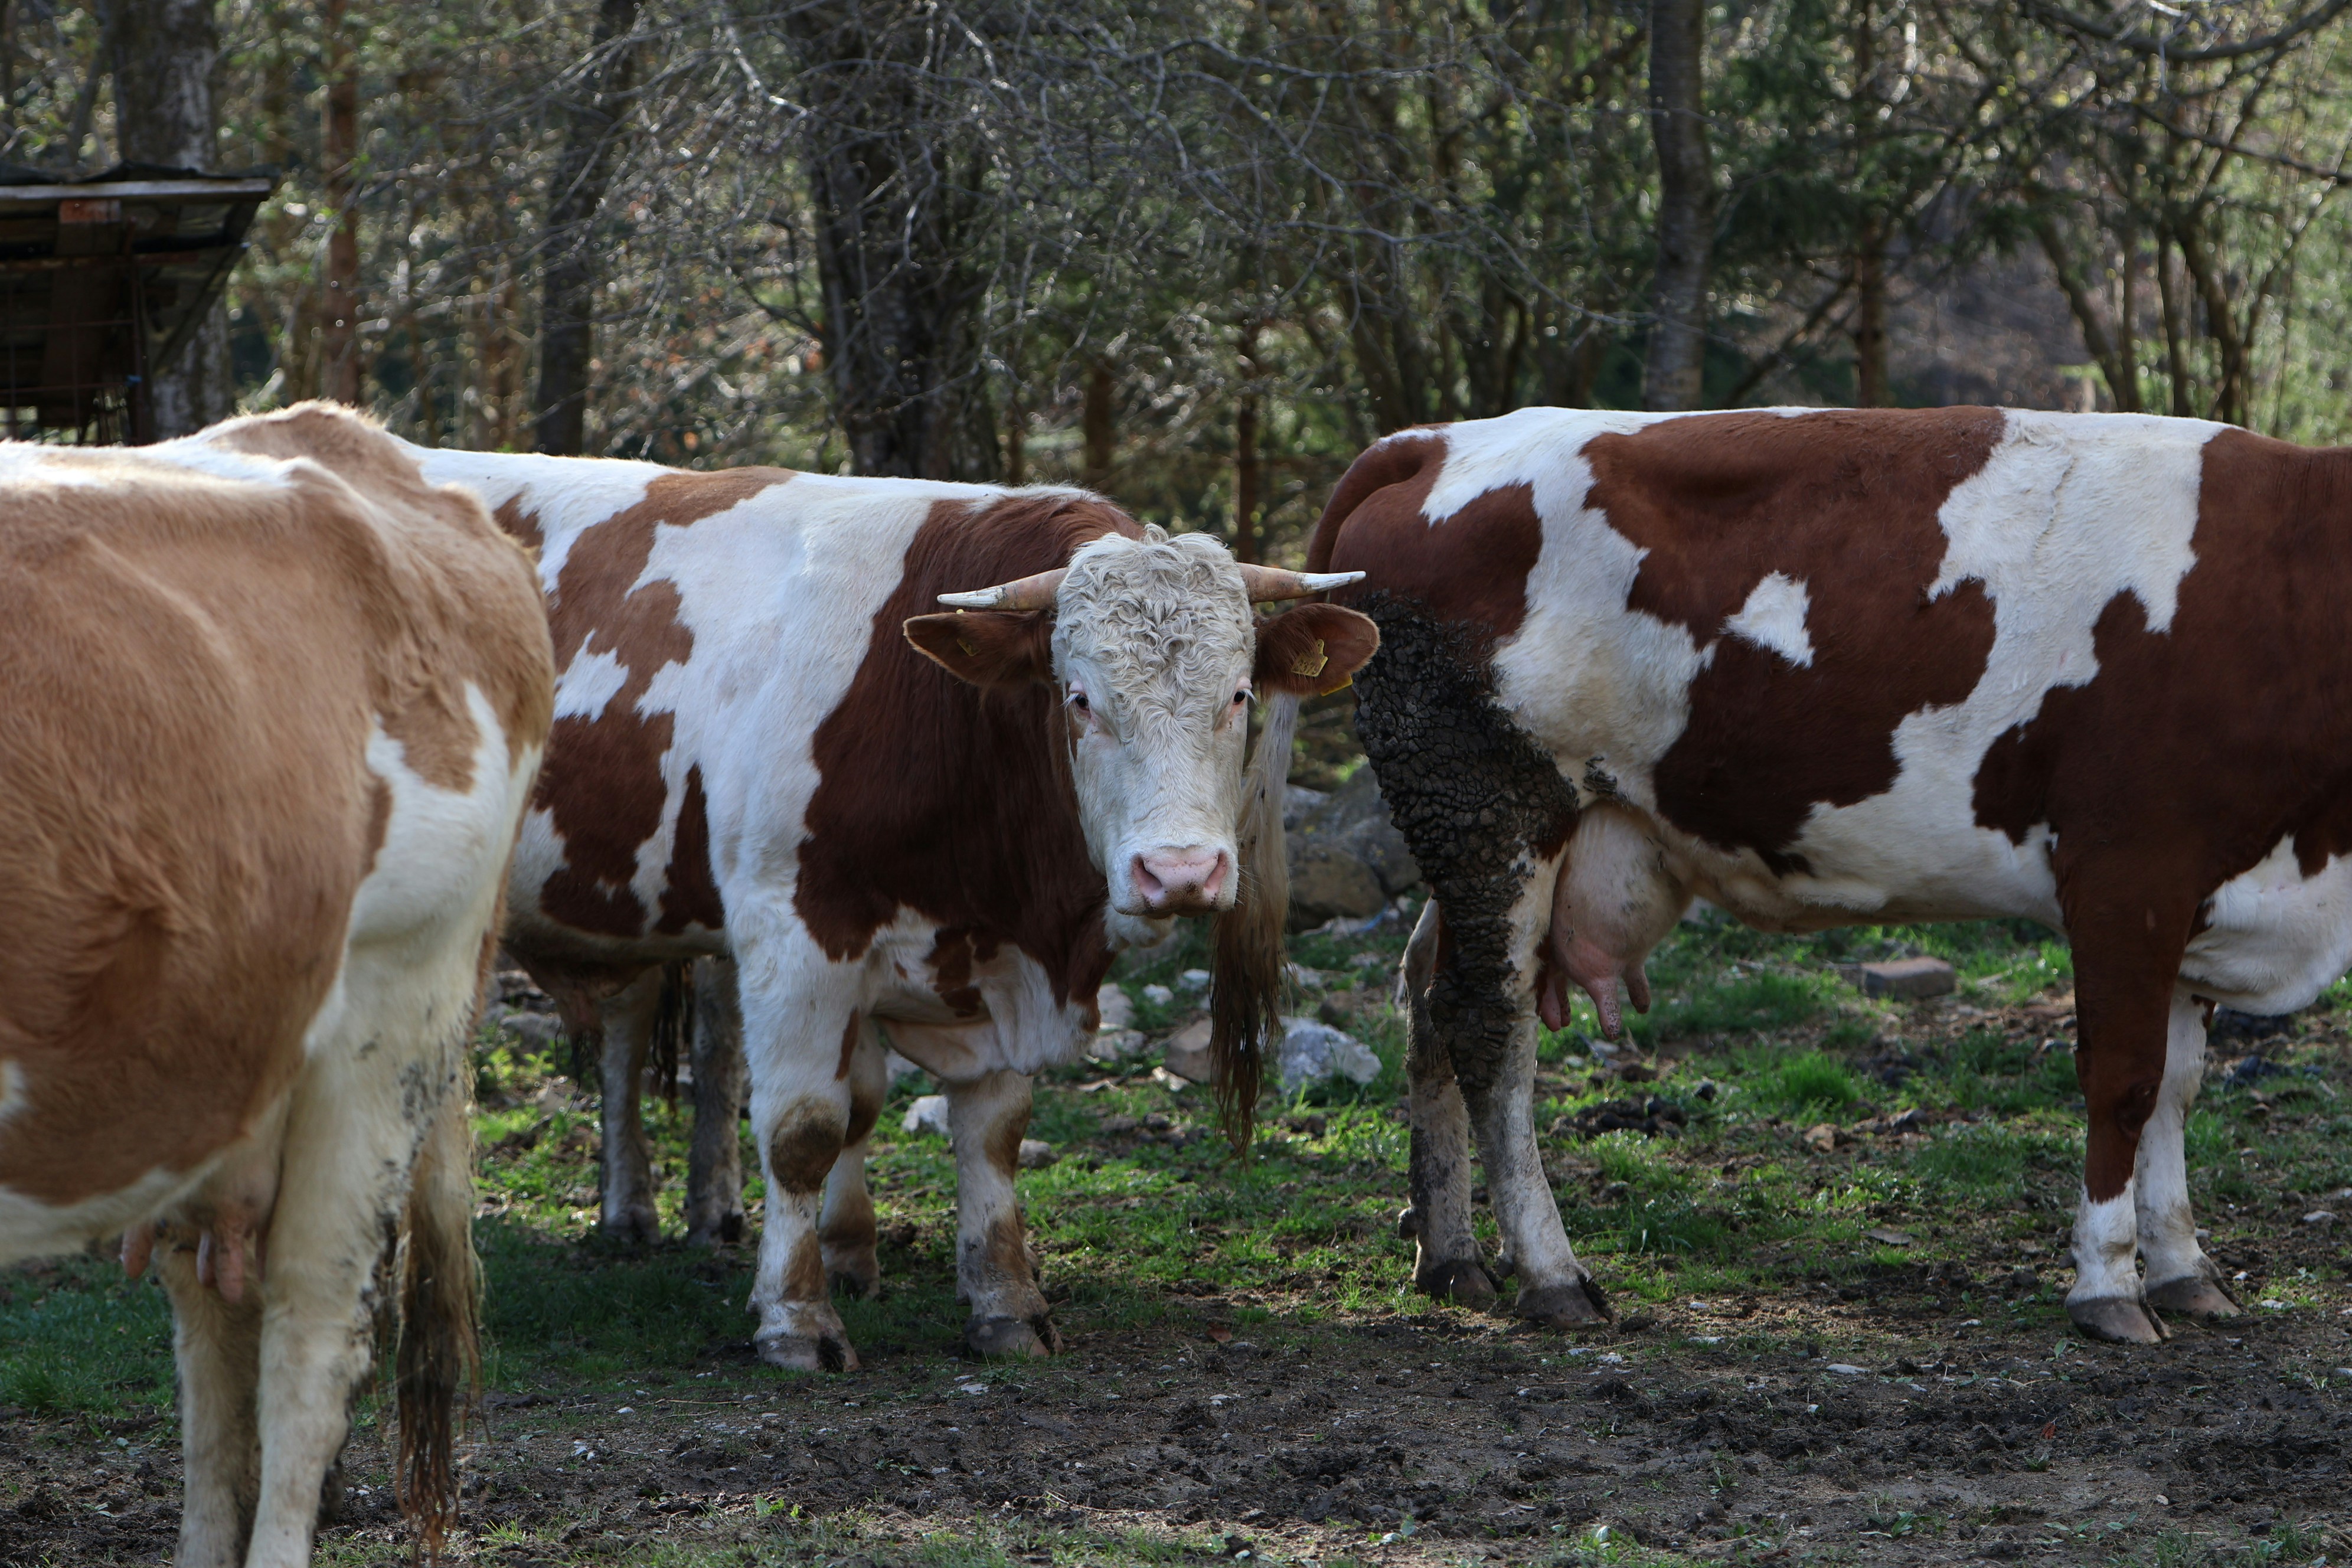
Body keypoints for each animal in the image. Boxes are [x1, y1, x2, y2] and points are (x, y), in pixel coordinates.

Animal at [391, 446, 1380, 1369]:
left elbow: (987, 1133)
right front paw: (798, 1318)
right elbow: (805, 1128)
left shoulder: (991, 958)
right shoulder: (794, 933)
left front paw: (1002, 1302)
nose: (1180, 871)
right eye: (1080, 698)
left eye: (1239, 695)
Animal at [1308, 405, 2352, 1345]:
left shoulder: (2200, 889)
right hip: (1491, 802)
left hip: (1471, 834)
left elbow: (2177, 1087)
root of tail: (1437, 441)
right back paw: (1550, 1272)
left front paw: (2184, 1270)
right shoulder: (2125, 870)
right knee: (1491, 1027)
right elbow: (2125, 1085)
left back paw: (1450, 1258)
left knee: (1430, 993)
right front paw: (2108, 1285)